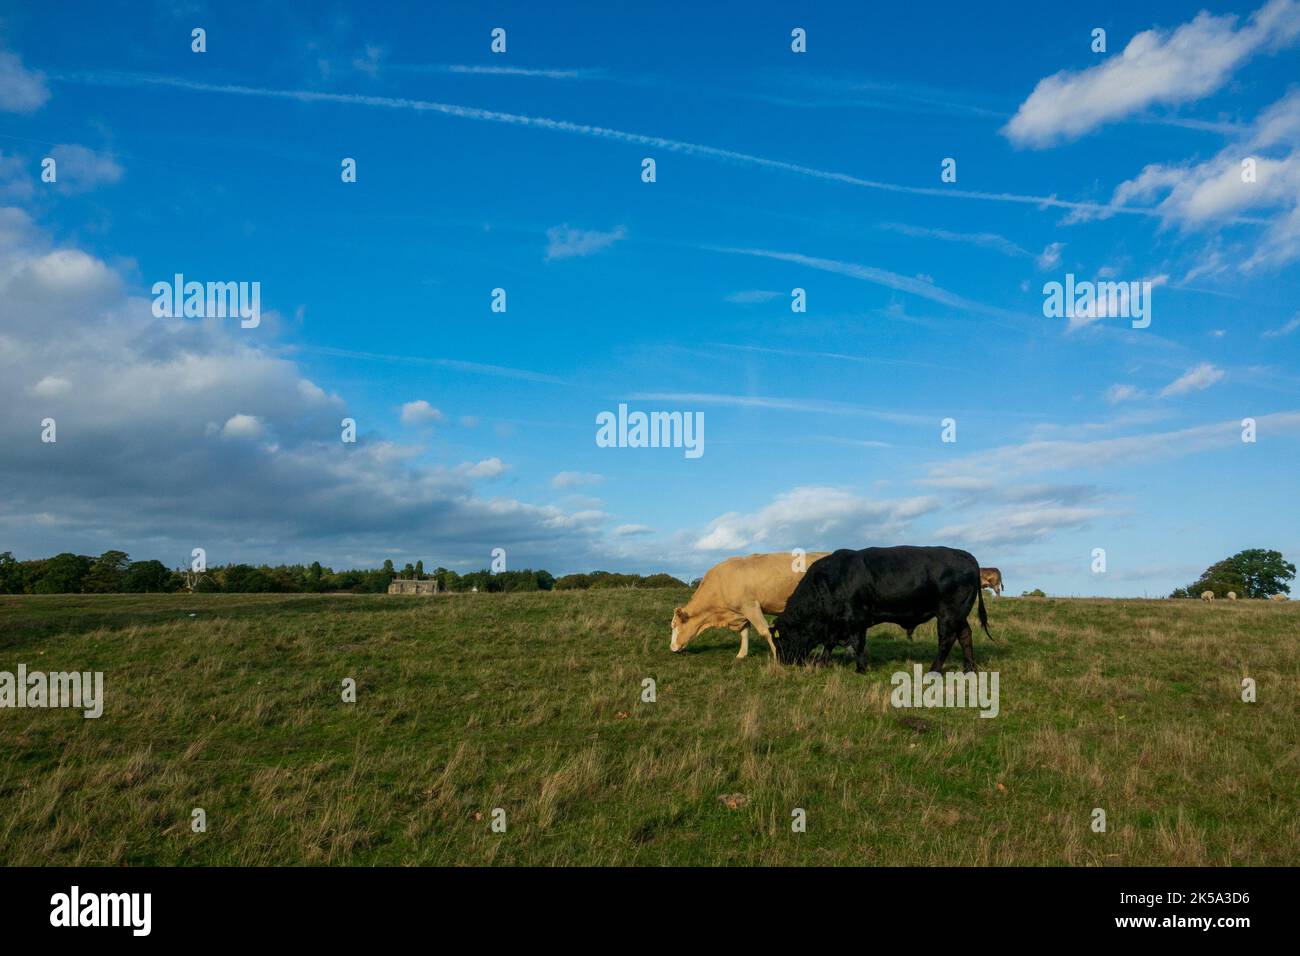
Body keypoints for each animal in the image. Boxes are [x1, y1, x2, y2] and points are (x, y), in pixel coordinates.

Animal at [669, 551, 830, 659]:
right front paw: (741, 654)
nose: (671, 648)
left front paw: (777, 656)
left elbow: (765, 631)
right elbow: (744, 632)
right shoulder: (741, 611)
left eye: (675, 626)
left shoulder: (751, 606)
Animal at [770, 546, 990, 674]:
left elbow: (858, 643)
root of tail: (966, 556)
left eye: (781, 639)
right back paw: (969, 668)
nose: (783, 662)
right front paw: (822, 663)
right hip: (959, 615)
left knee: (947, 639)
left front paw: (860, 668)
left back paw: (934, 670)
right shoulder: (835, 624)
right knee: (965, 635)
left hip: (948, 613)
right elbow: (829, 644)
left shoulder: (856, 619)